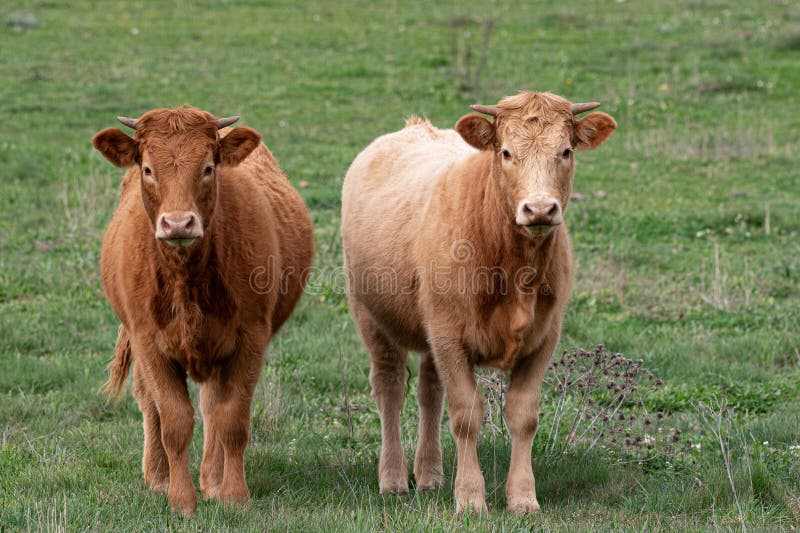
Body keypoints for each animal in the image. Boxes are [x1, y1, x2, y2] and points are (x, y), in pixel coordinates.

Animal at [92, 107, 313, 517]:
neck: (186, 280)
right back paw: (158, 477)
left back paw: (212, 478)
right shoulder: (148, 340)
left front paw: (234, 495)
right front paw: (180, 499)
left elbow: (232, 419)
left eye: (208, 168)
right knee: (149, 402)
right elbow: (174, 420)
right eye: (149, 168)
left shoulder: (251, 337)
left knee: (213, 406)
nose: (178, 223)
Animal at [341, 92, 616, 514]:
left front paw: (523, 497)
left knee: (429, 392)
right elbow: (466, 416)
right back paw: (393, 478)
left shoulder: (543, 339)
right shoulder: (449, 338)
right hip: (371, 316)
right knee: (389, 387)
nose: (539, 209)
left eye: (566, 151)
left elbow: (523, 416)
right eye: (506, 152)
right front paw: (470, 498)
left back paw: (430, 475)